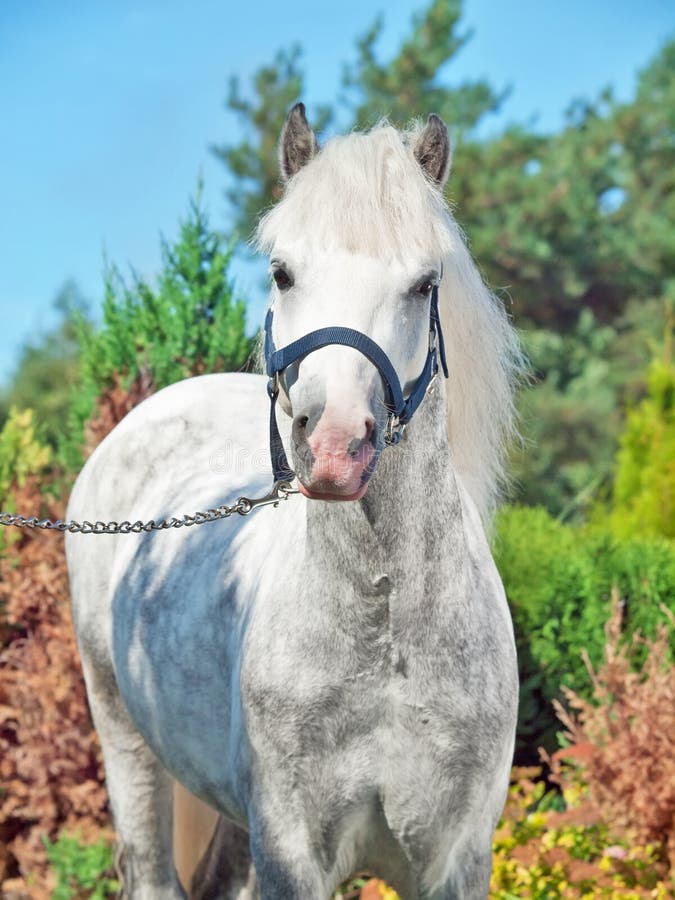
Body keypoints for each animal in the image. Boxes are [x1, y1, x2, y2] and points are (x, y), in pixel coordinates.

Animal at [66, 105, 522, 900]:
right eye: (282, 271)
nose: (336, 444)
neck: (386, 637)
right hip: (125, 742)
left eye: (423, 282)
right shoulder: (289, 850)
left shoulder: (455, 861)